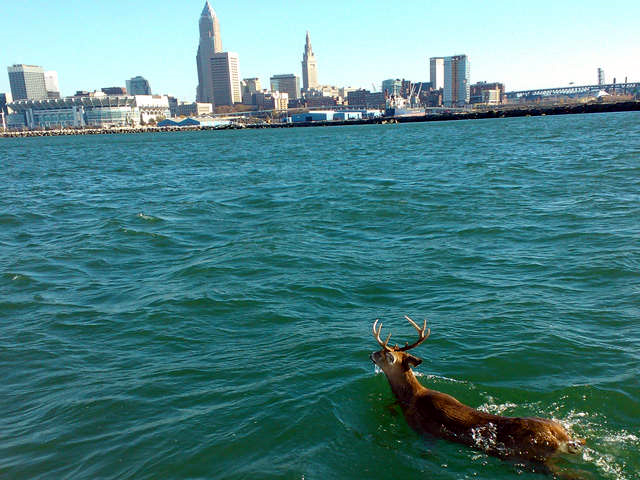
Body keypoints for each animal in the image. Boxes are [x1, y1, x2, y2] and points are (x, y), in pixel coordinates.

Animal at [370, 316, 586, 477]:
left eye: (381, 354)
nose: (370, 354)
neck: (411, 397)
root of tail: (564, 438)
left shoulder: (424, 430)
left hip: (535, 458)